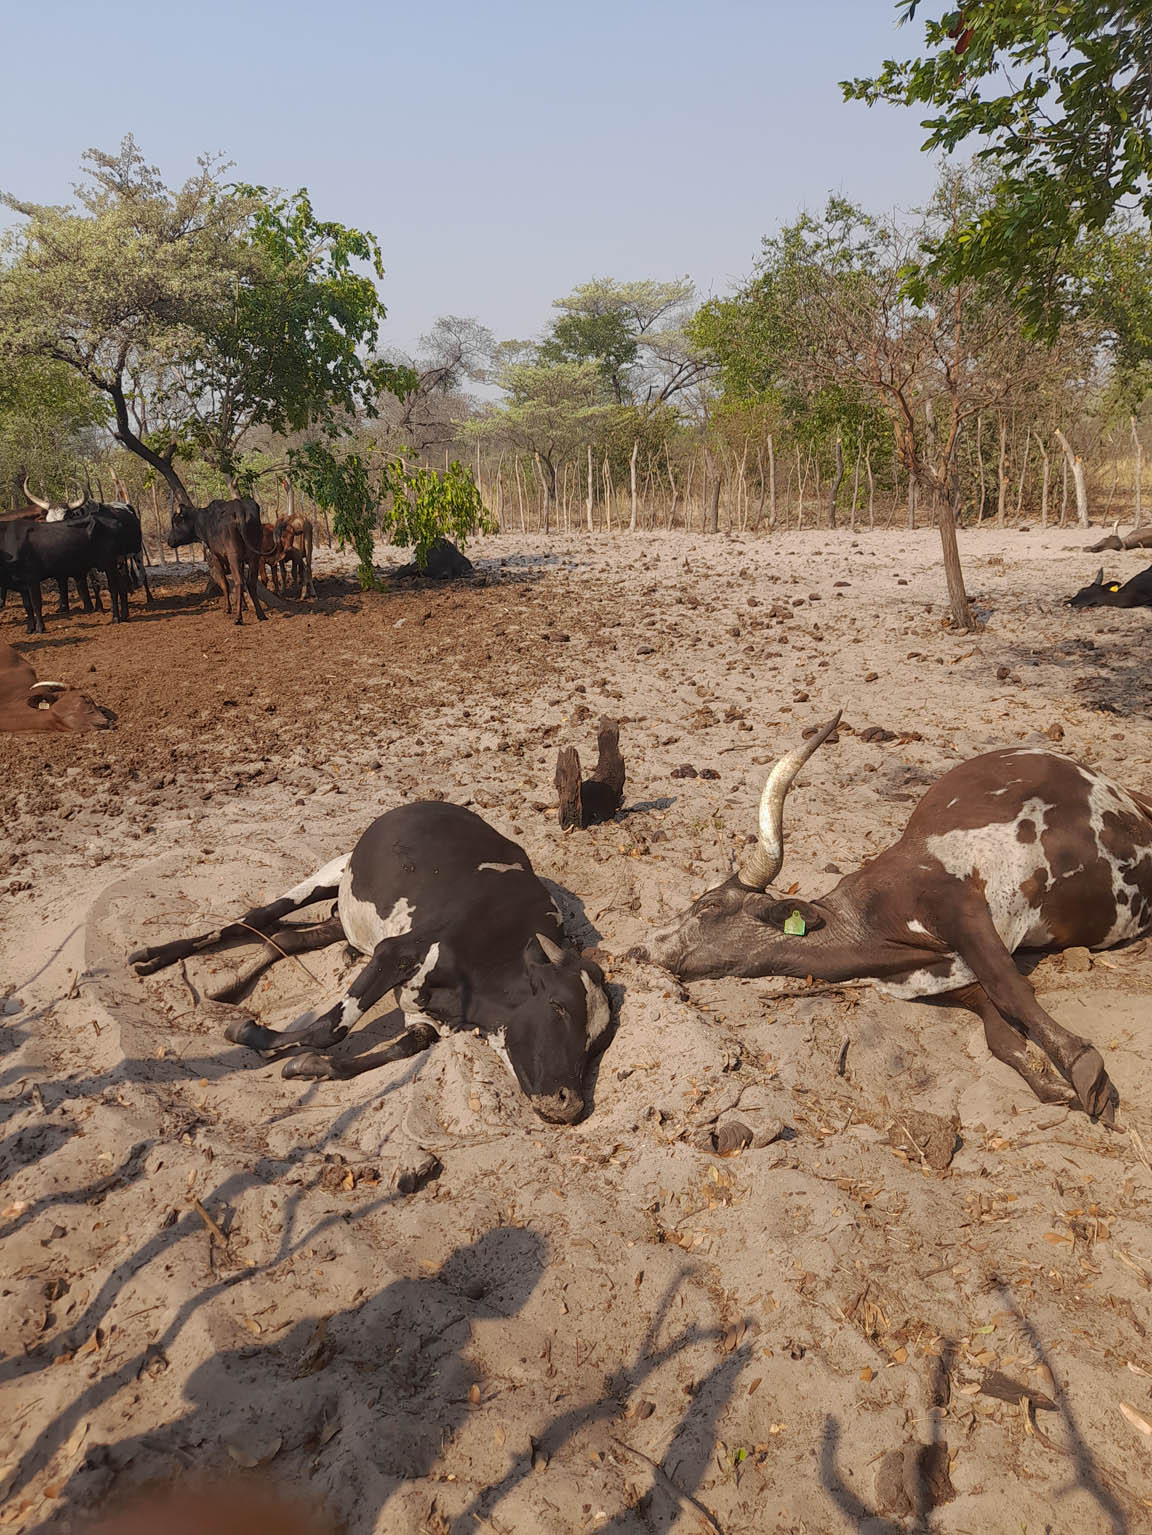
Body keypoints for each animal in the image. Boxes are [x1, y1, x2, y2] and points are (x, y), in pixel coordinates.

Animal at [128, 801, 613, 1122]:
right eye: (558, 1006)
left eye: (596, 1043)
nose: (570, 1104)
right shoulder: (396, 953)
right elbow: (330, 1028)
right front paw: (253, 1033)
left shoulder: (422, 1011)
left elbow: (399, 1046)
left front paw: (311, 1066)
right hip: (330, 873)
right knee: (253, 920)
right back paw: (153, 957)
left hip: (342, 920)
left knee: (285, 936)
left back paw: (228, 989)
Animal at [632, 713, 1152, 1125]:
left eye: (709, 906)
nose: (641, 947)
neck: (870, 929)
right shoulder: (946, 979)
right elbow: (1000, 1034)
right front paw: (1053, 1086)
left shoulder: (959, 908)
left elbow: (1012, 990)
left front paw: (1085, 1072)